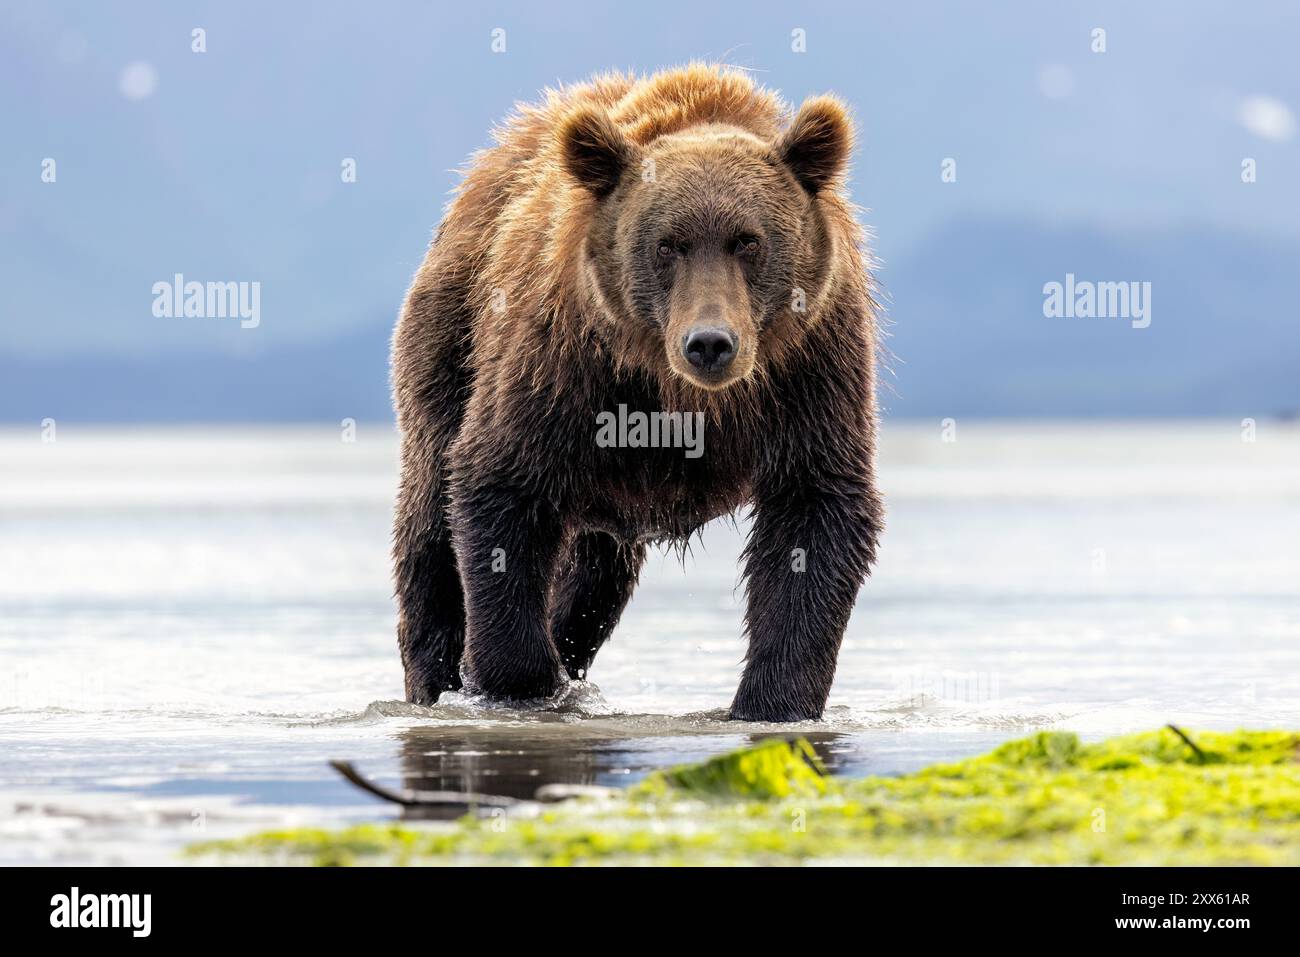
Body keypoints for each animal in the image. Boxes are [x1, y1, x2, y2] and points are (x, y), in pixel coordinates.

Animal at [391, 64, 883, 722]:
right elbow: (501, 485)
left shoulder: (812, 369)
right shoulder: (563, 363)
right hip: (451, 337)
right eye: (668, 244)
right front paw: (518, 683)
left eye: (748, 241)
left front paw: (771, 700)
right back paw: (436, 674)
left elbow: (816, 513)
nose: (710, 343)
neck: (680, 395)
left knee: (595, 578)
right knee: (428, 524)